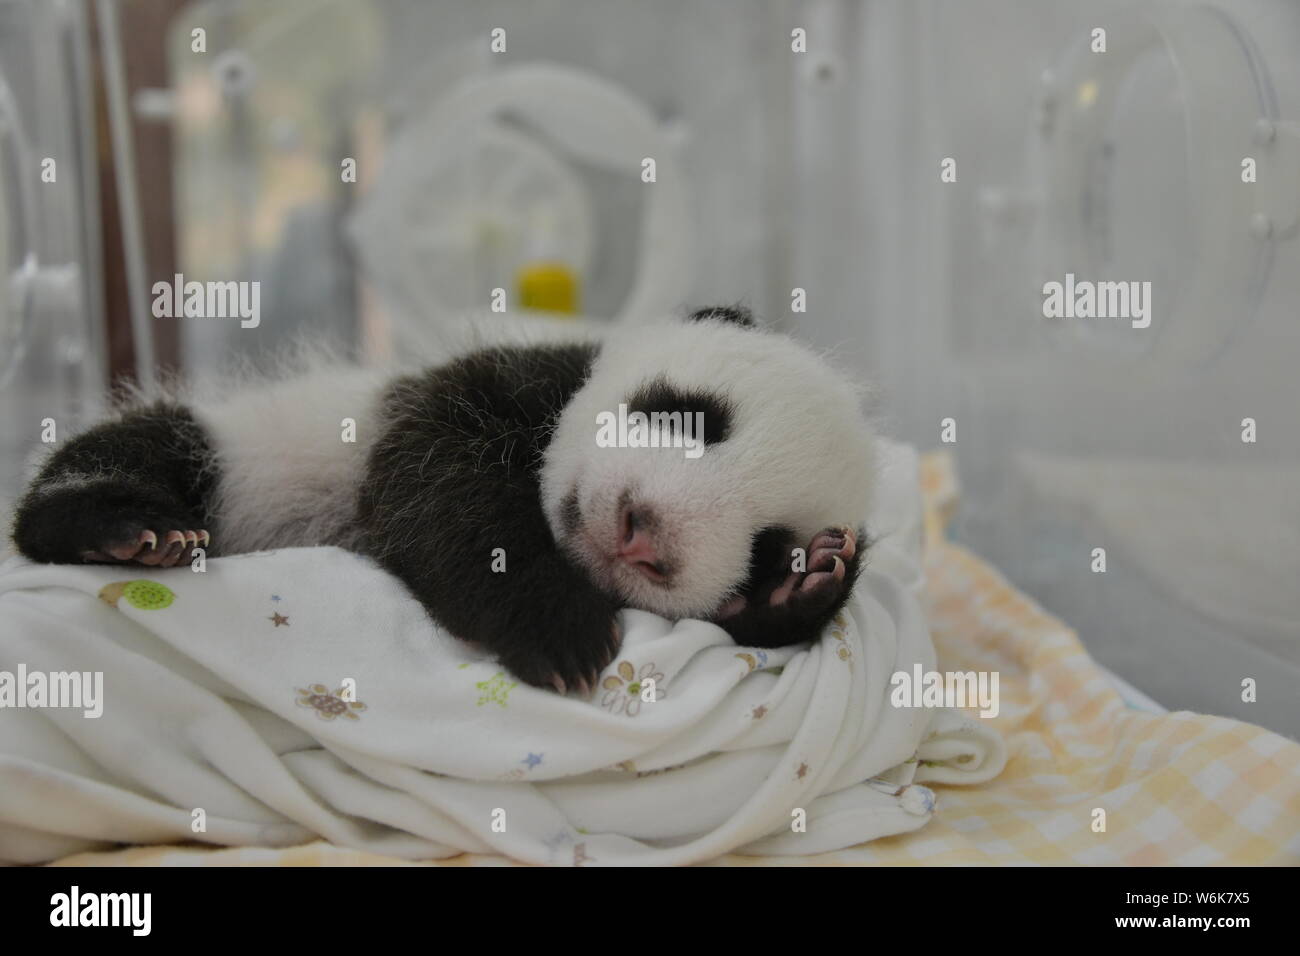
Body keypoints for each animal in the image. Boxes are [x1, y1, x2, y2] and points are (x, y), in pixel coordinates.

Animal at [10, 306, 876, 693]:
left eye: (765, 544)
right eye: (688, 415)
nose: (642, 533)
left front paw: (803, 586)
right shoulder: (506, 383)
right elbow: (438, 477)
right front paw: (557, 629)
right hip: (233, 447)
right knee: (140, 446)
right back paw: (123, 527)